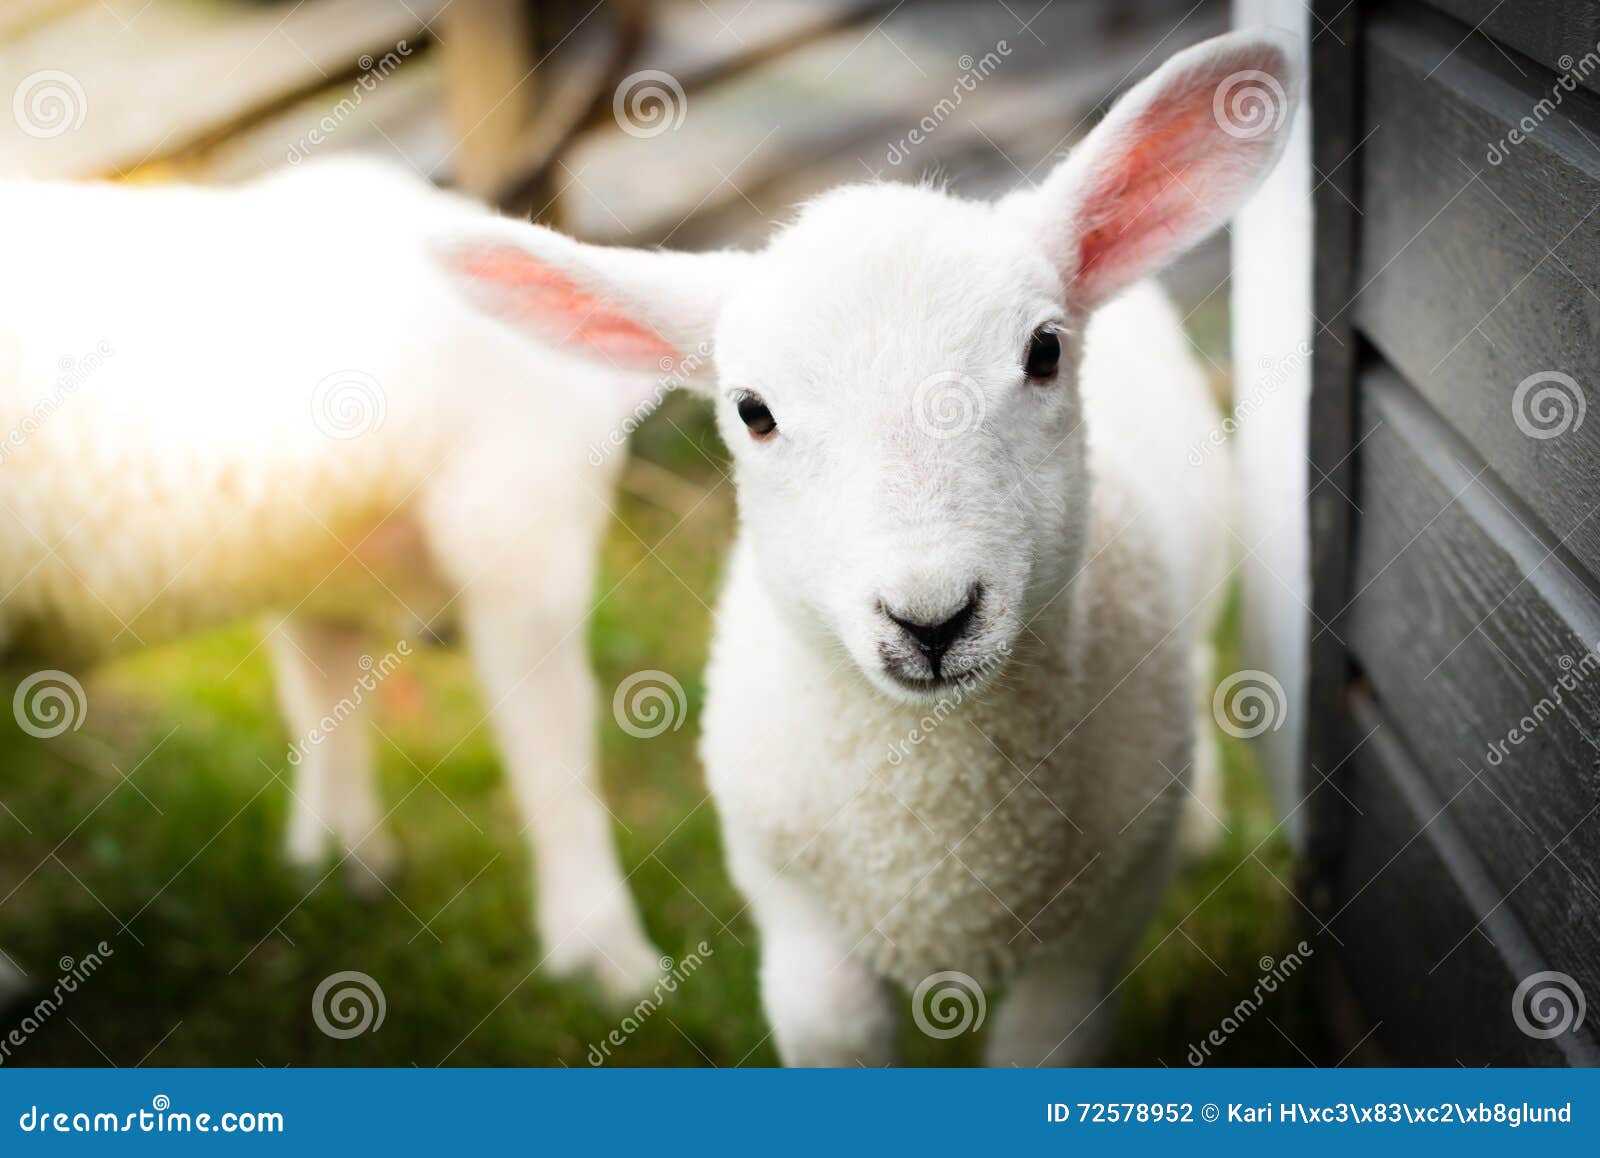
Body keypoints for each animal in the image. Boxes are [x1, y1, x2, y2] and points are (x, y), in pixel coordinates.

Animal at [0, 159, 665, 1004]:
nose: (437, 635)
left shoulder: (315, 577)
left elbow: (326, 706)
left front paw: (339, 863)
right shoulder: (522, 533)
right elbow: (555, 750)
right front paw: (609, 958)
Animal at [421, 28, 1299, 1064]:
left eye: (1045, 351)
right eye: (751, 410)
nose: (933, 619)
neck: (938, 844)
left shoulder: (1081, 956)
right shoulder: (807, 948)